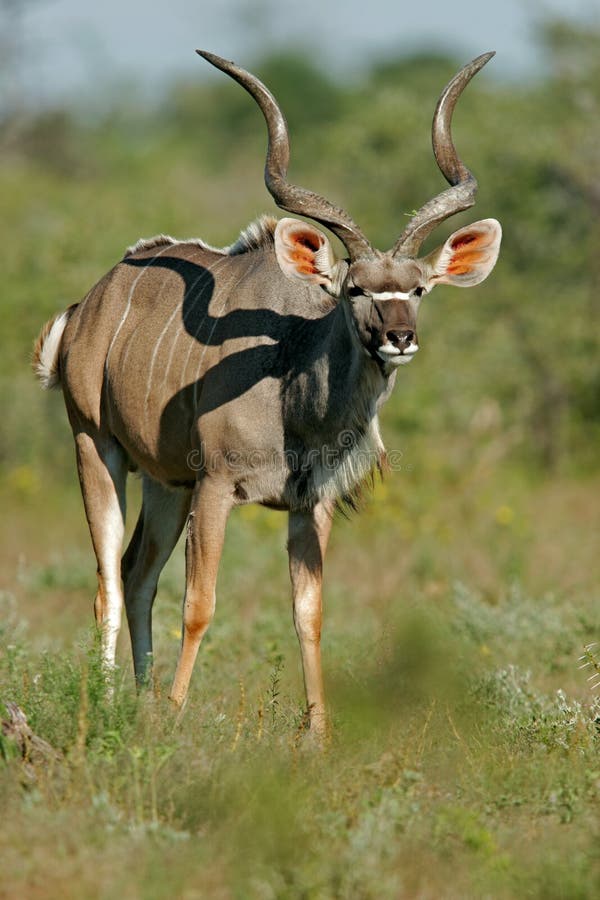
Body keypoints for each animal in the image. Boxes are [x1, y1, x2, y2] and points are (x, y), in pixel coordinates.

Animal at [33, 50, 501, 735]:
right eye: (354, 289)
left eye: (418, 288)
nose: (399, 338)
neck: (293, 392)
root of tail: (84, 308)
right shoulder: (217, 486)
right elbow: (200, 604)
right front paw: (178, 715)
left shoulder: (312, 504)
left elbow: (309, 612)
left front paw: (318, 735)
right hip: (96, 445)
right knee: (108, 585)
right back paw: (110, 703)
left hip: (166, 483)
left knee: (137, 573)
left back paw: (140, 702)